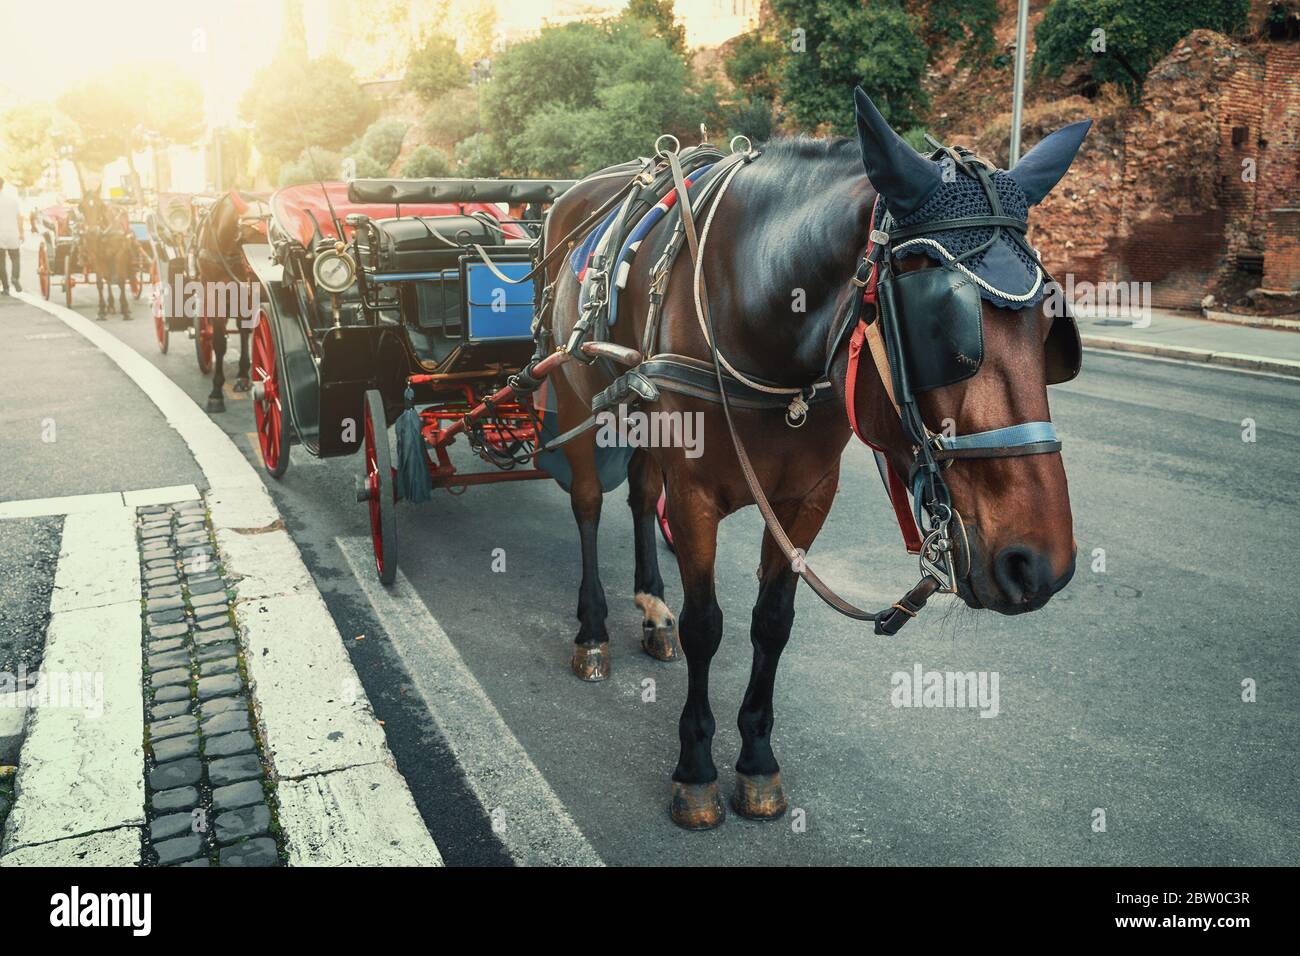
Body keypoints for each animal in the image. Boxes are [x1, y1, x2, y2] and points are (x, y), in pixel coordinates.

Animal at [194, 190, 269, 412]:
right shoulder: (215, 294)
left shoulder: (248, 293)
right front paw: (216, 392)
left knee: (244, 330)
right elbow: (219, 343)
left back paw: (243, 374)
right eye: (247, 239)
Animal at [543, 88, 1090, 829]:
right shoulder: (694, 495)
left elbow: (772, 623)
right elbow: (707, 624)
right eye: (944, 332)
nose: (1039, 564)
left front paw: (756, 761)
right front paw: (696, 768)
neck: (756, 312)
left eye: (1049, 329)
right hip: (574, 393)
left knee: (635, 493)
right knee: (588, 504)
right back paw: (594, 628)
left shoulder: (808, 496)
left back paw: (651, 607)